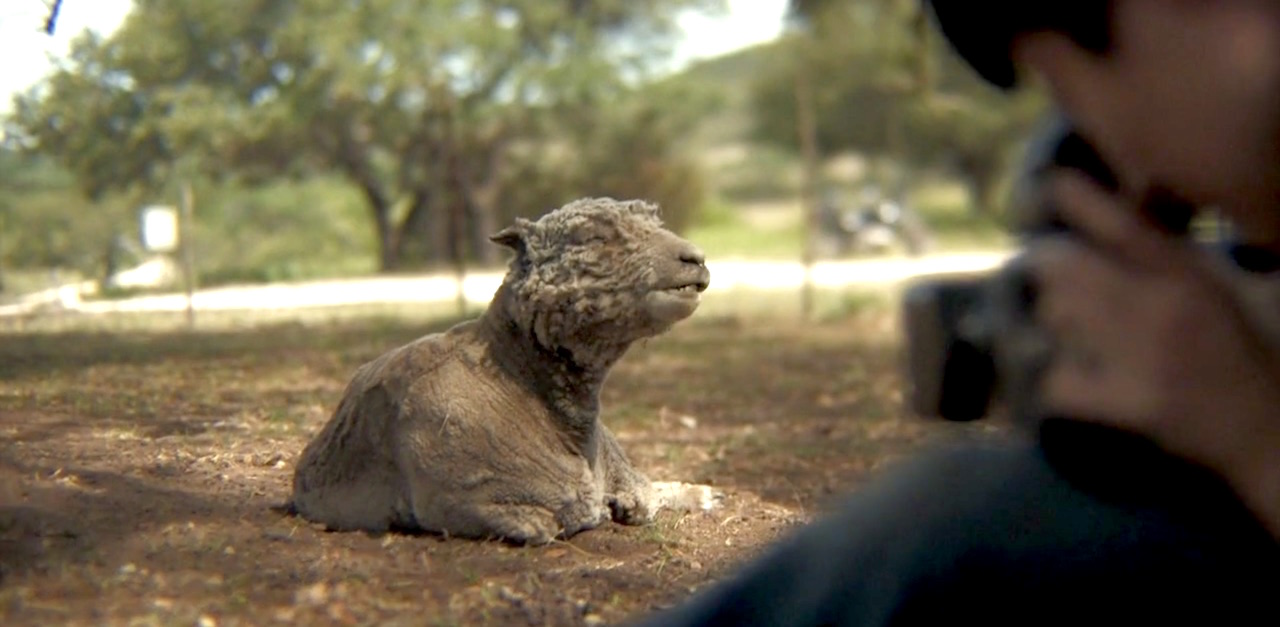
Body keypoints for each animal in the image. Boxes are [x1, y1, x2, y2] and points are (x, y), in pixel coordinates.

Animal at [289, 197, 711, 544]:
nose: (696, 258)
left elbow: (642, 500)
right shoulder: (459, 501)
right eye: (592, 236)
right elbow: (545, 524)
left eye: (656, 221)